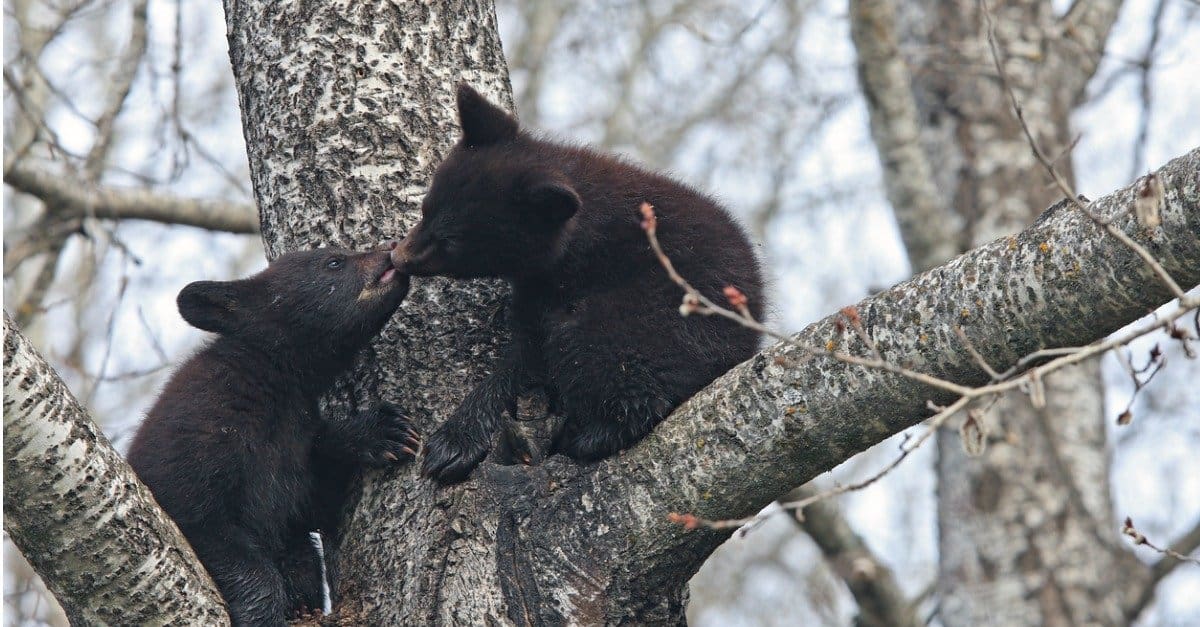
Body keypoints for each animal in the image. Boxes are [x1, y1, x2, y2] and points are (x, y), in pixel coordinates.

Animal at [127, 246, 418, 625]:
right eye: (334, 261)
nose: (389, 250)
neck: (274, 373)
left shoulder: (294, 436)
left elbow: (314, 502)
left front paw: (378, 432)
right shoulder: (203, 423)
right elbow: (201, 519)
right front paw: (262, 611)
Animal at [393, 84, 764, 484]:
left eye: (452, 242)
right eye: (426, 209)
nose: (398, 258)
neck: (576, 239)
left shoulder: (557, 285)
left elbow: (524, 358)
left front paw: (451, 443)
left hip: (647, 321)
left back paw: (590, 436)